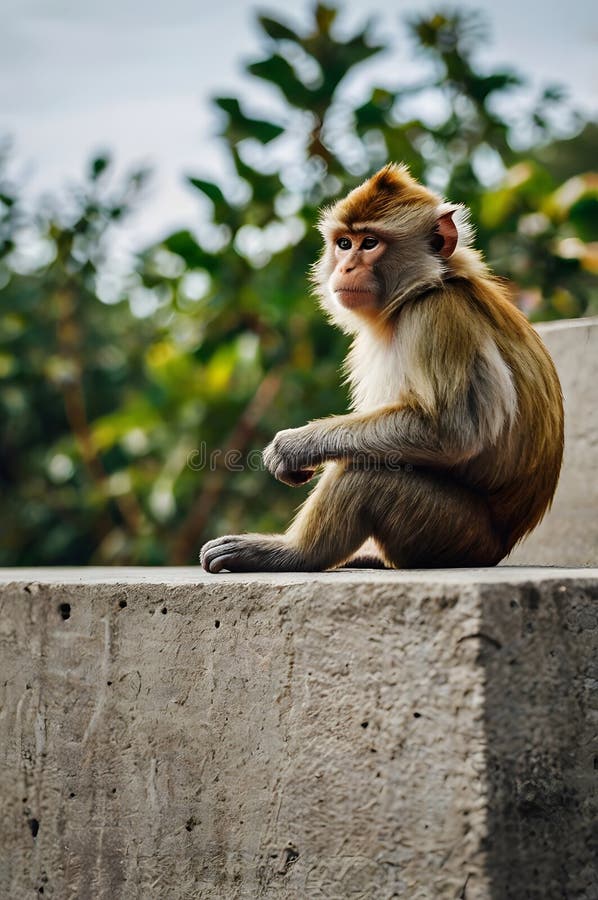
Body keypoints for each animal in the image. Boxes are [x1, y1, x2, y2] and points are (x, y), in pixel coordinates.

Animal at [200, 163, 563, 573]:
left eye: (370, 243)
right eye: (344, 244)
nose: (346, 267)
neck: (420, 290)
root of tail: (499, 547)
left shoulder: (437, 315)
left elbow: (454, 429)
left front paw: (295, 447)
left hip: (453, 532)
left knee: (365, 468)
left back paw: (294, 554)